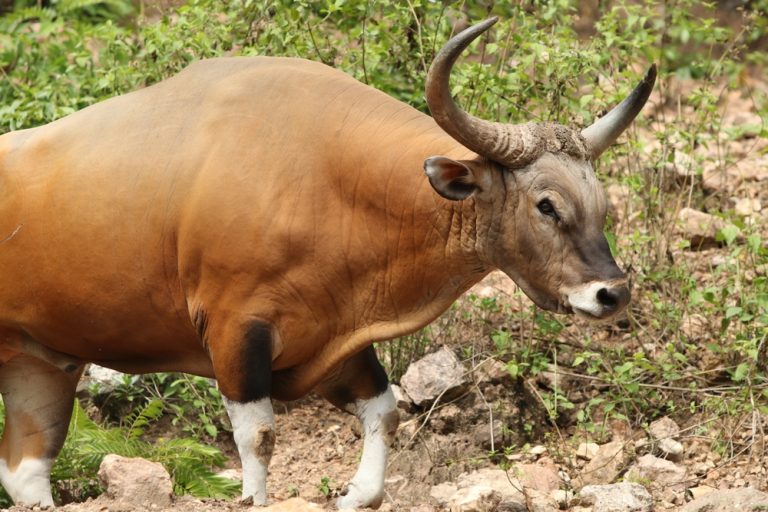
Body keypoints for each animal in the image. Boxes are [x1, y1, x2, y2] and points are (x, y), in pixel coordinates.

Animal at [0, 17, 654, 509]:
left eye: (602, 204)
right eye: (547, 205)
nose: (611, 293)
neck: (325, 179)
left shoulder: (336, 334)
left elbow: (385, 413)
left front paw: (360, 491)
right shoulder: (235, 330)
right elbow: (259, 438)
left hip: (41, 362)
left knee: (26, 470)